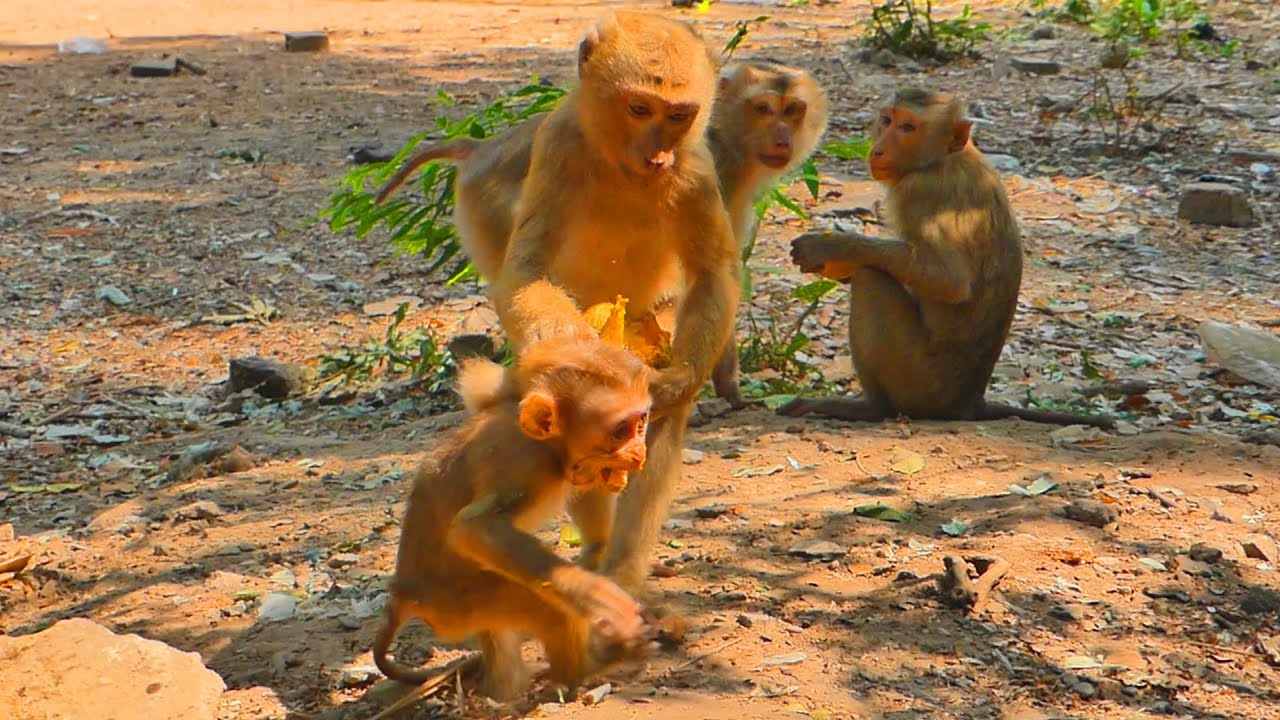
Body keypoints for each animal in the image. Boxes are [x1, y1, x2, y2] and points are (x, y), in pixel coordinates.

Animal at [372, 325, 655, 701]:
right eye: (620, 431)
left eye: (641, 422)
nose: (639, 452)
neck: (551, 449)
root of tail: (402, 591)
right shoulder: (524, 463)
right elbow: (474, 528)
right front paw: (597, 594)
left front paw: (597, 554)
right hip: (460, 602)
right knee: (547, 609)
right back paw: (588, 668)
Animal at [489, 11, 739, 594]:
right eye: (639, 108)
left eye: (679, 115)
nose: (657, 154)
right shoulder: (558, 142)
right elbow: (527, 271)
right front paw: (568, 343)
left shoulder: (695, 165)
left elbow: (712, 274)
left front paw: (675, 384)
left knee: (656, 420)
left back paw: (623, 567)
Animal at [778, 88, 1115, 430]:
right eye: (887, 120)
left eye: (908, 127)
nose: (879, 149)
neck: (946, 157)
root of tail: (969, 401)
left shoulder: (918, 190)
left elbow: (949, 281)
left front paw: (832, 248)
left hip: (919, 382)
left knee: (872, 280)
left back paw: (871, 408)